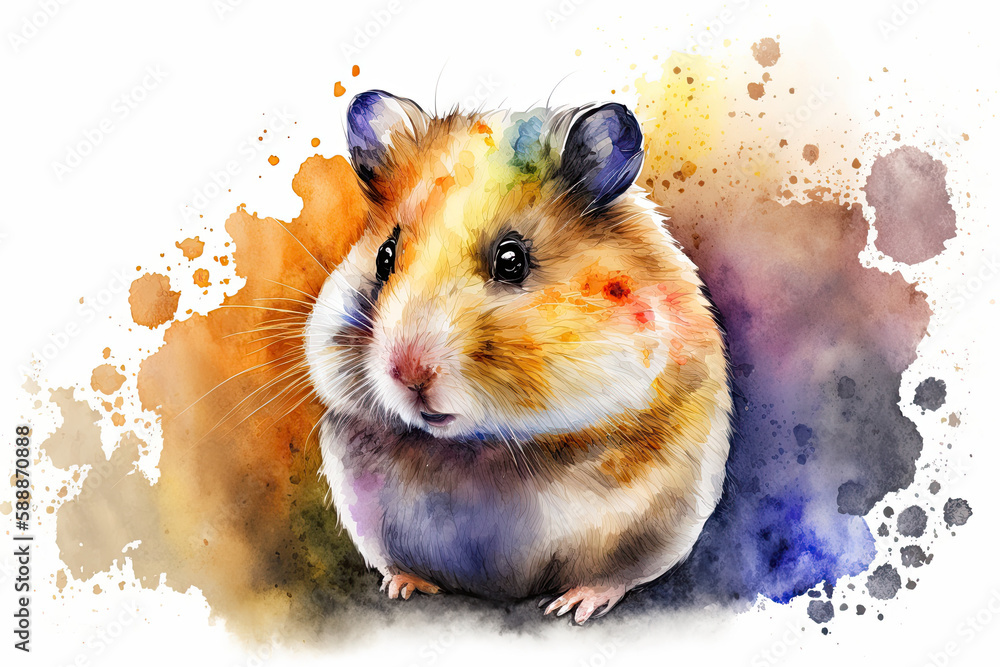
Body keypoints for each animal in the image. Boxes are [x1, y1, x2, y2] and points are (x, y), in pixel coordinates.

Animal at [305, 90, 732, 624]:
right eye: (384, 257)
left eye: (512, 261)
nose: (409, 374)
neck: (482, 448)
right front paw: (401, 588)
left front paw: (573, 607)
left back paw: (574, 603)